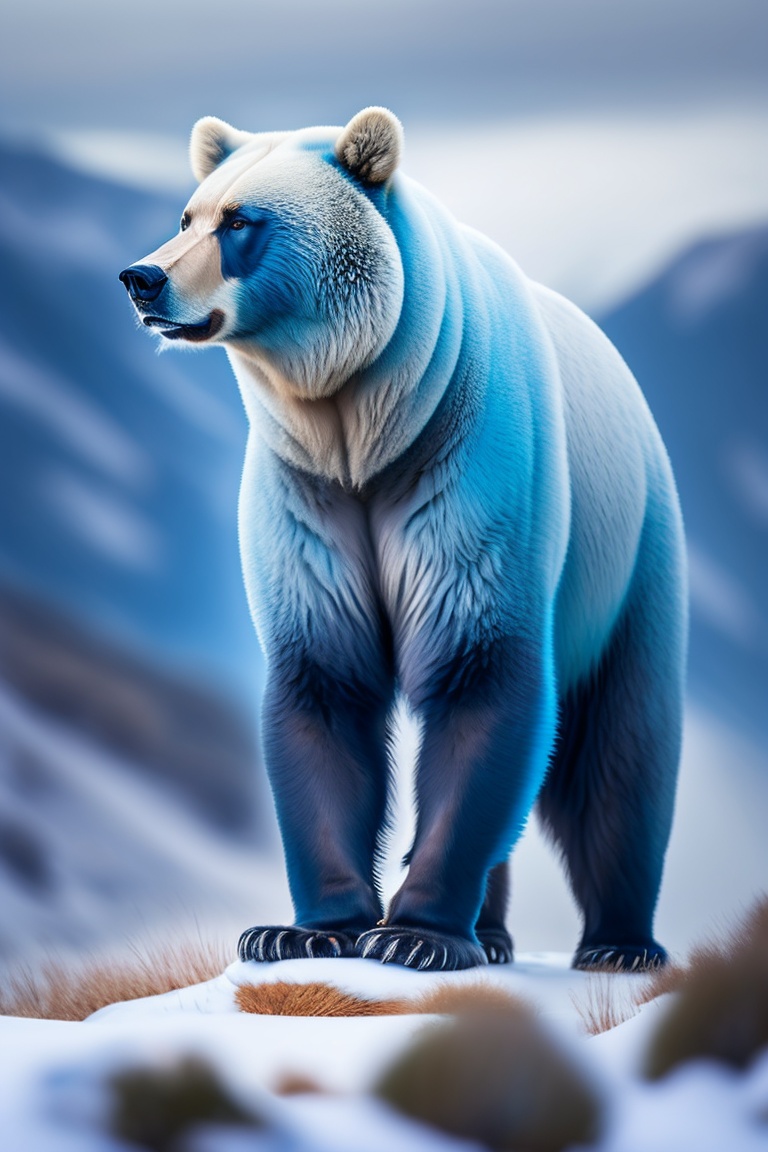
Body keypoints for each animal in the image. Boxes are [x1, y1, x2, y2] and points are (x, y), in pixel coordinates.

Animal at [119, 107, 687, 973]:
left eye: (240, 221)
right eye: (188, 215)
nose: (142, 278)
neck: (364, 420)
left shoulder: (467, 465)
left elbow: (478, 672)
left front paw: (416, 936)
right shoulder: (305, 497)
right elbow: (324, 682)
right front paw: (300, 931)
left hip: (630, 552)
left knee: (620, 749)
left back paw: (619, 944)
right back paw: (495, 935)